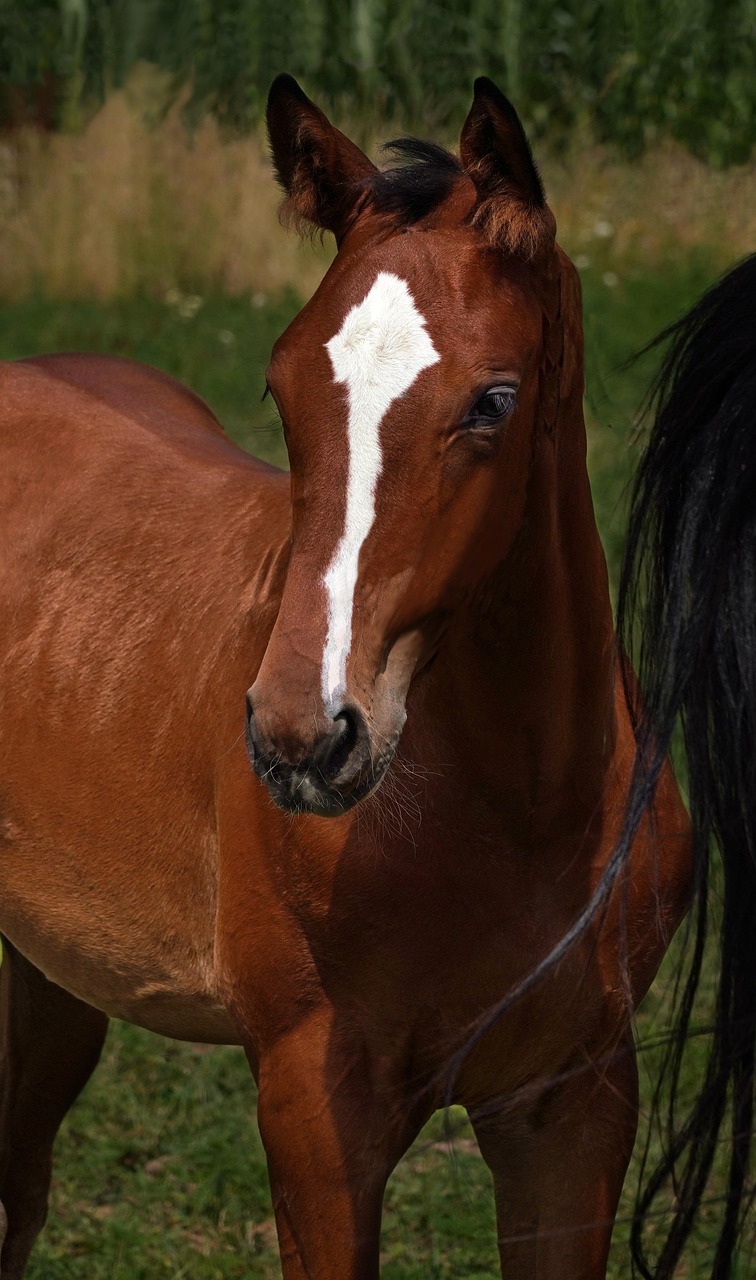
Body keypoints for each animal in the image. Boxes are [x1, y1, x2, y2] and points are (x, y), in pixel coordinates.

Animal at [0, 74, 690, 1279]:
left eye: (494, 400)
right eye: (280, 385)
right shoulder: (318, 1112)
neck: (524, 811)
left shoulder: (576, 1101)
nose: (302, 739)